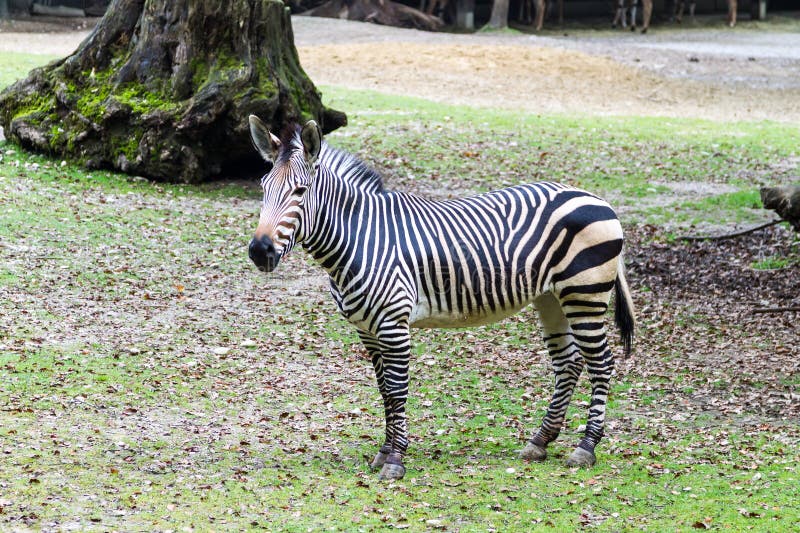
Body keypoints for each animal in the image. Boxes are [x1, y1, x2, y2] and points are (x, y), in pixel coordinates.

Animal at [247, 116, 635, 481]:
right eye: (263, 188)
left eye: (300, 190)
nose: (258, 251)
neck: (360, 238)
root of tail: (596, 198)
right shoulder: (366, 329)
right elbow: (383, 390)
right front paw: (384, 452)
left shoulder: (393, 323)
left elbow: (397, 389)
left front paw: (396, 460)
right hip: (551, 298)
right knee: (568, 362)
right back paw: (539, 441)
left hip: (584, 294)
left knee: (601, 363)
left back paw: (586, 448)